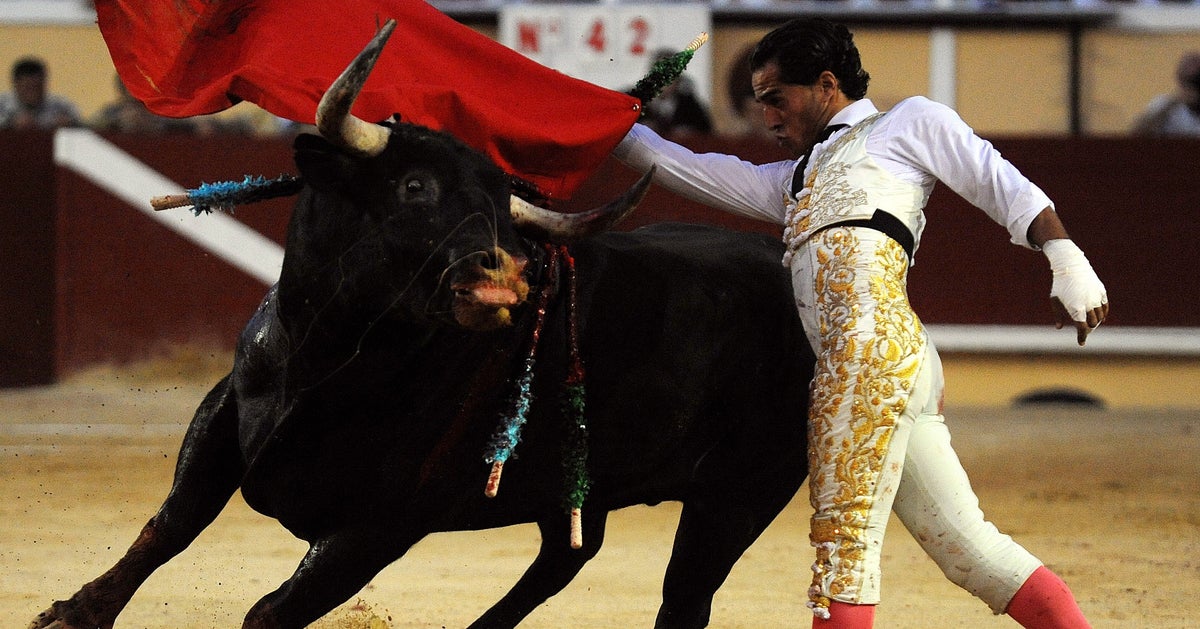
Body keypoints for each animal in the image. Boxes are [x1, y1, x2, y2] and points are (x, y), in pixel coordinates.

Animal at [30, 21, 813, 629]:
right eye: (415, 186)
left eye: (502, 210)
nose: (502, 276)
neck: (327, 360)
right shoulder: (224, 411)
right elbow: (171, 522)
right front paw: (73, 612)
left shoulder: (384, 522)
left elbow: (270, 609)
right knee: (565, 556)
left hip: (738, 495)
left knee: (681, 597)